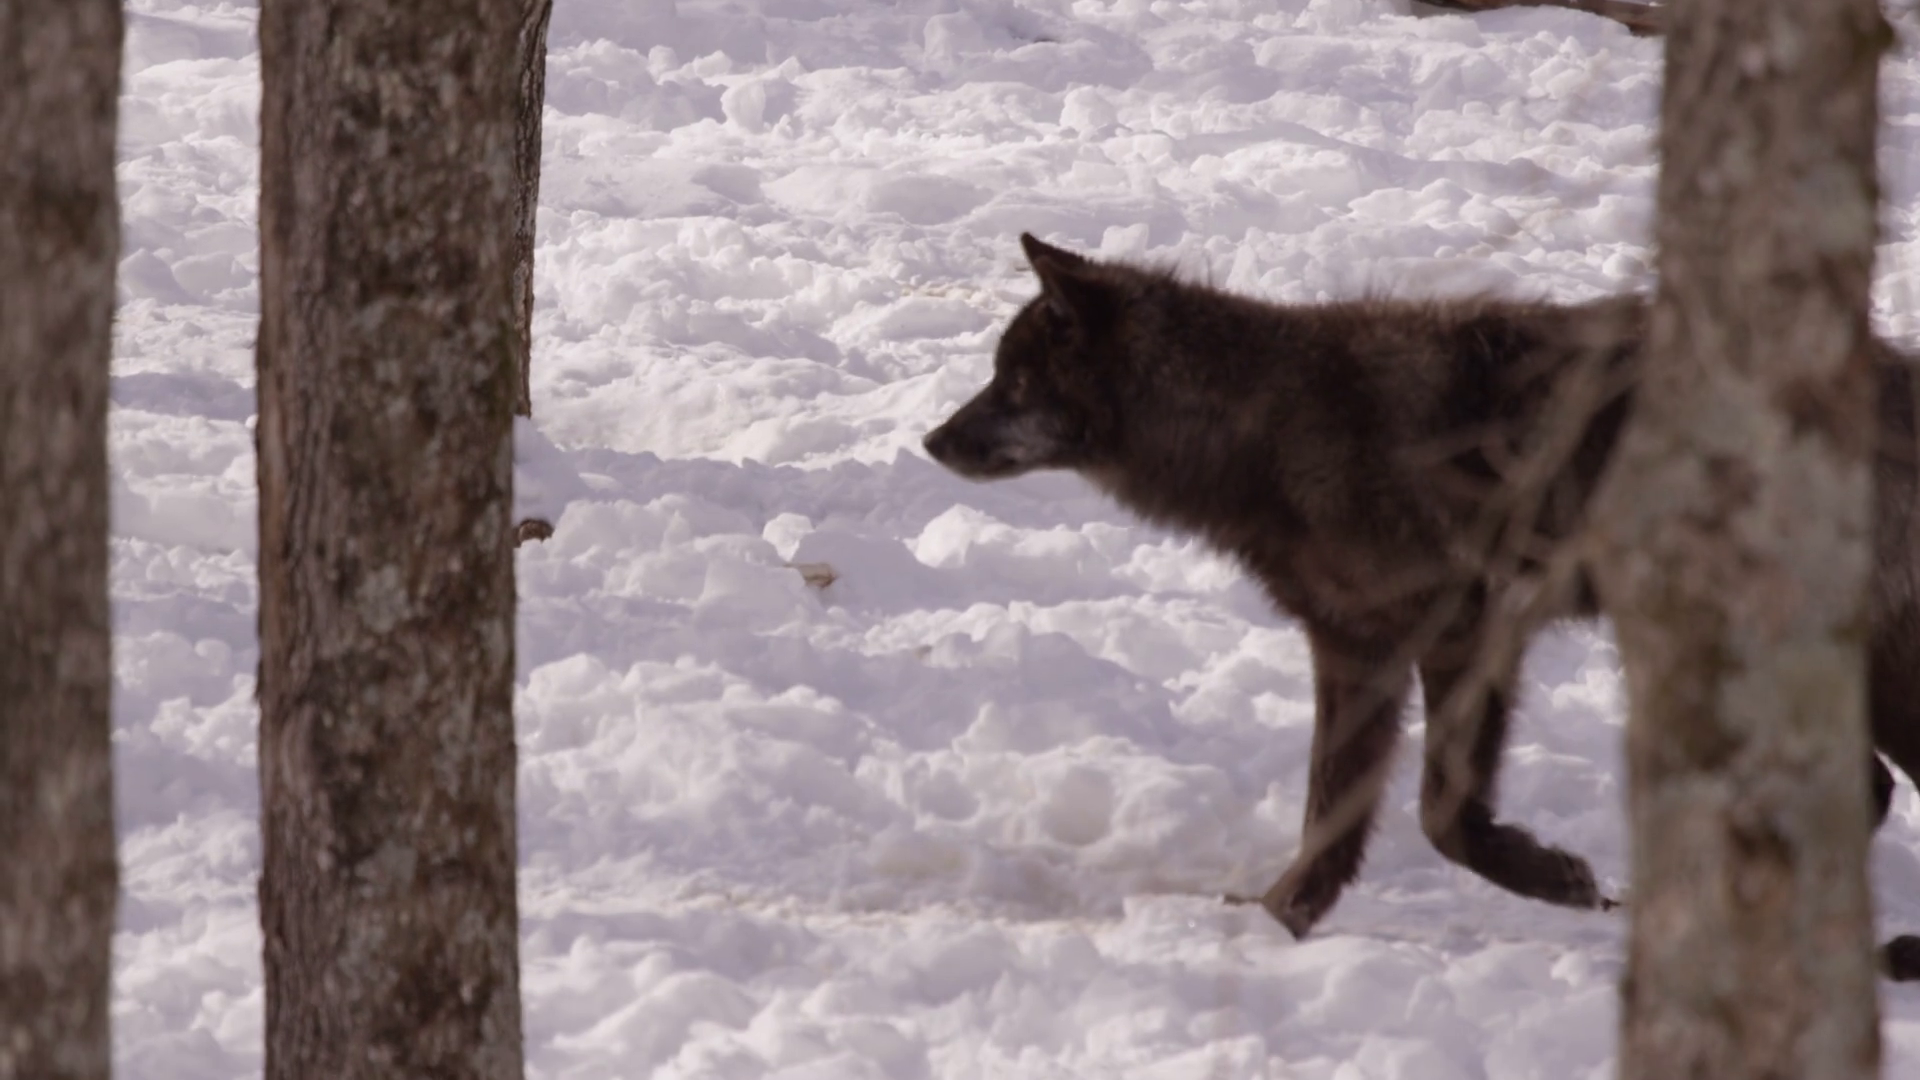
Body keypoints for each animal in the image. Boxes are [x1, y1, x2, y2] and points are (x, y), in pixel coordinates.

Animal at [924, 234, 1920, 974]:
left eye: (1014, 383)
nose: (932, 440)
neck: (1266, 426)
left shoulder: (1466, 632)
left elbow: (1441, 814)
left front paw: (1550, 877)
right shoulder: (1355, 651)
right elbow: (1332, 815)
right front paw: (1276, 920)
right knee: (1862, 789)